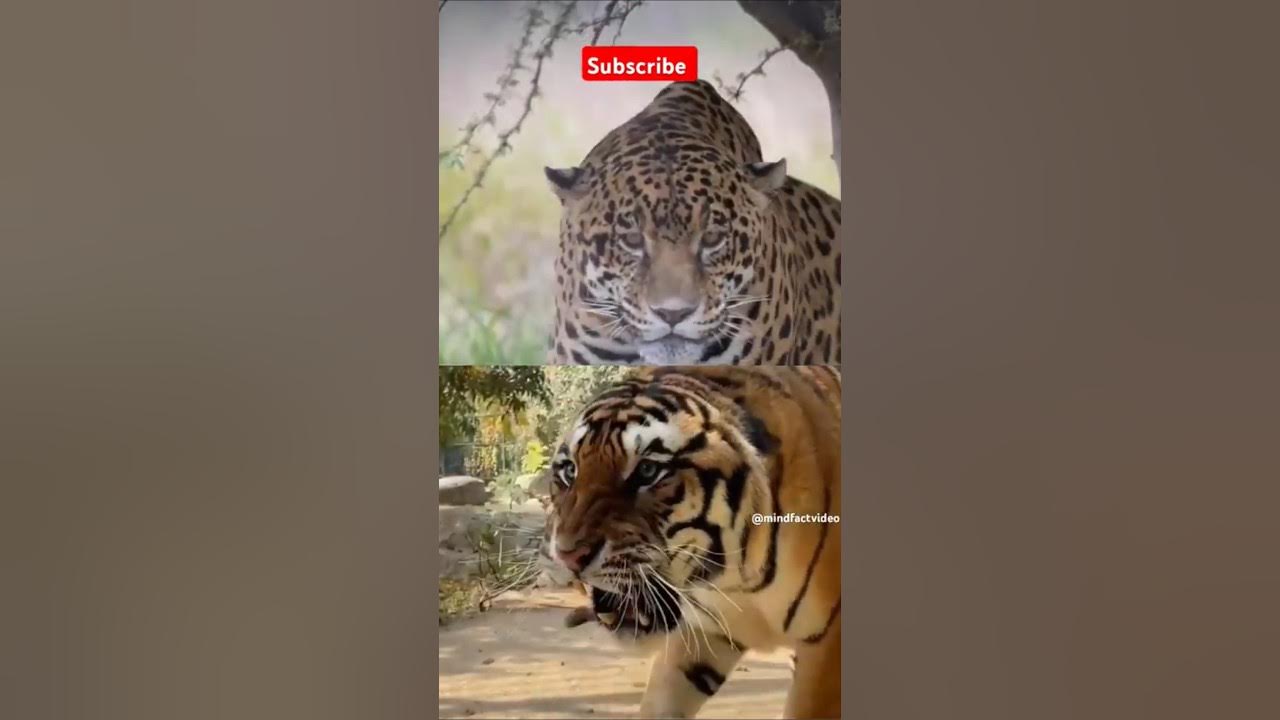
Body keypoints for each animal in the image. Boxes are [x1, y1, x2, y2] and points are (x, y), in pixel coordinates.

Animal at [540, 366, 841, 719]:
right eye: (569, 470)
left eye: (647, 471)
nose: (568, 556)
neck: (734, 578)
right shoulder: (701, 632)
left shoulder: (827, 649)